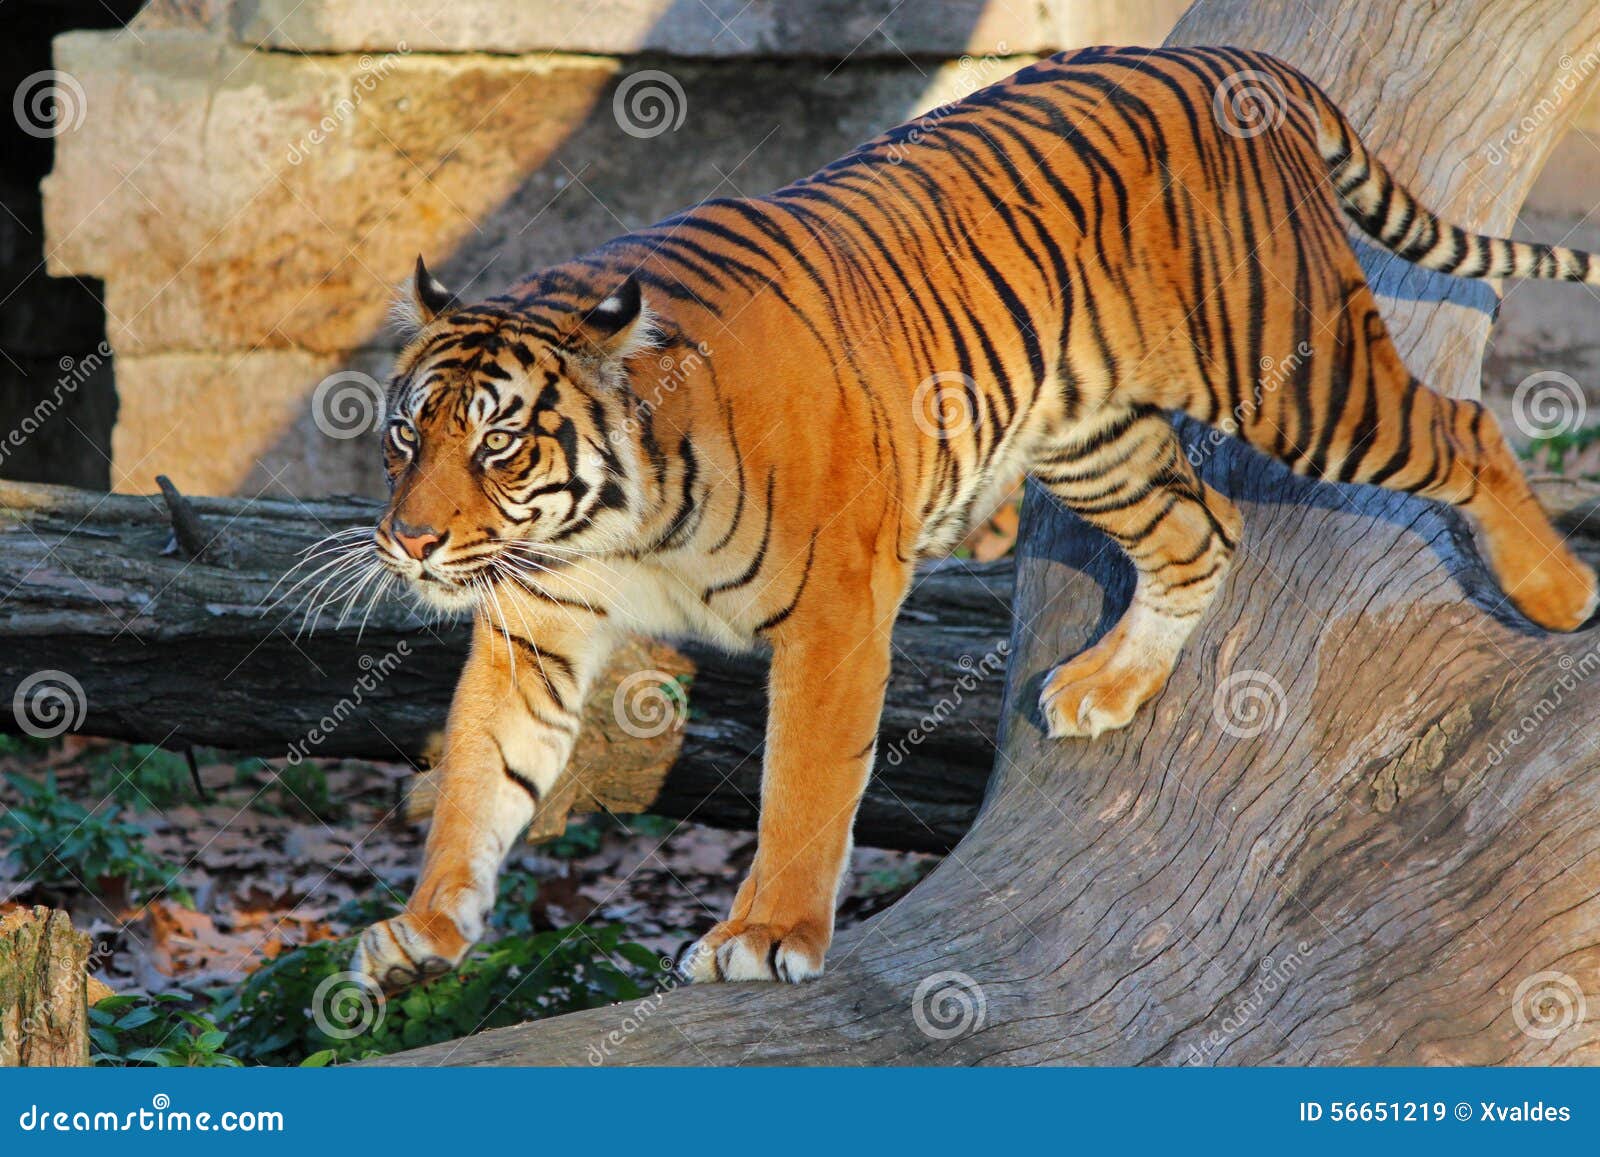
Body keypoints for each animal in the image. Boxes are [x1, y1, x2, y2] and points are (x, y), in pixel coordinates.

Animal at [348, 45, 1598, 993]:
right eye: (408, 435)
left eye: (499, 444)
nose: (407, 540)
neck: (610, 523)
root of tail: (1220, 54)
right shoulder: (535, 625)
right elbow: (482, 775)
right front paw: (423, 932)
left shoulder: (834, 611)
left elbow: (805, 784)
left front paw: (764, 935)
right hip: (1091, 435)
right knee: (1203, 532)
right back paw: (1106, 684)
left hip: (1296, 375)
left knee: (1461, 427)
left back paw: (1559, 592)